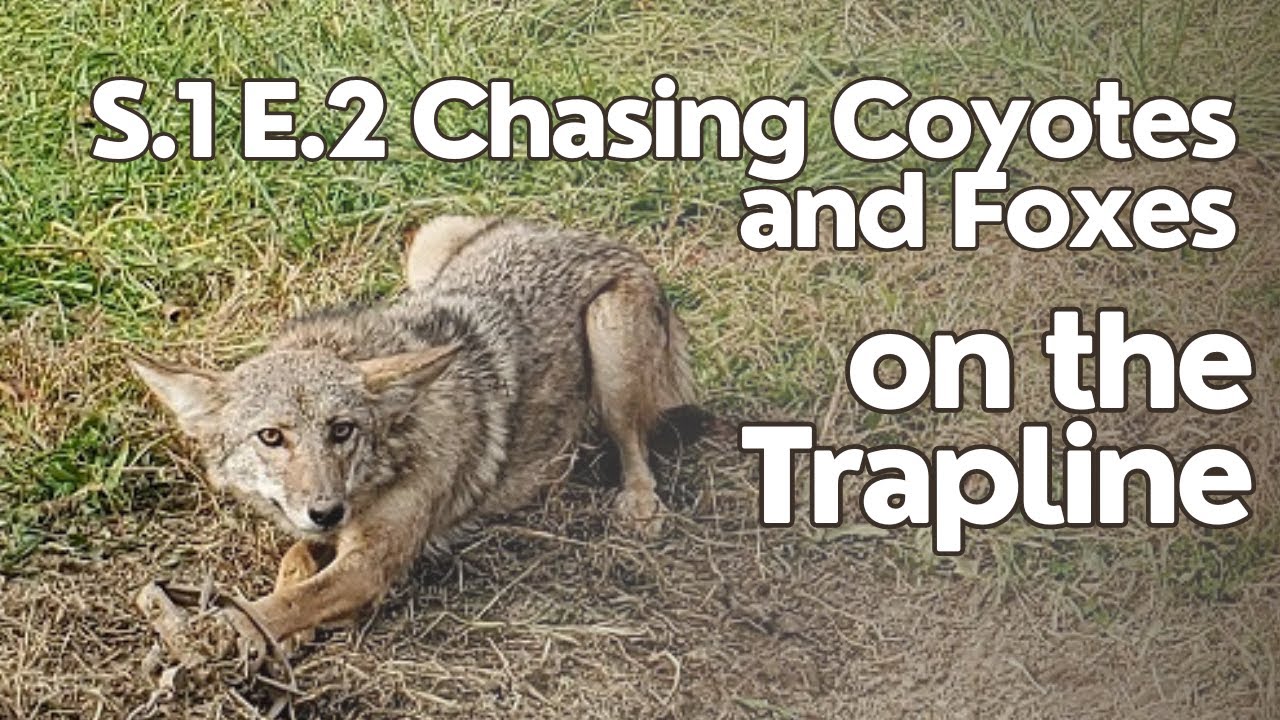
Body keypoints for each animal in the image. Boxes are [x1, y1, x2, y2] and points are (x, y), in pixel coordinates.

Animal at [129, 216, 696, 647]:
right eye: (271, 437)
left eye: (342, 430)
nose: (326, 511)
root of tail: (580, 232)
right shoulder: (321, 533)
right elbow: (293, 563)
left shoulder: (370, 564)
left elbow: (286, 602)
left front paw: (225, 633)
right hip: (430, 240)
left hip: (609, 340)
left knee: (633, 443)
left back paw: (640, 505)